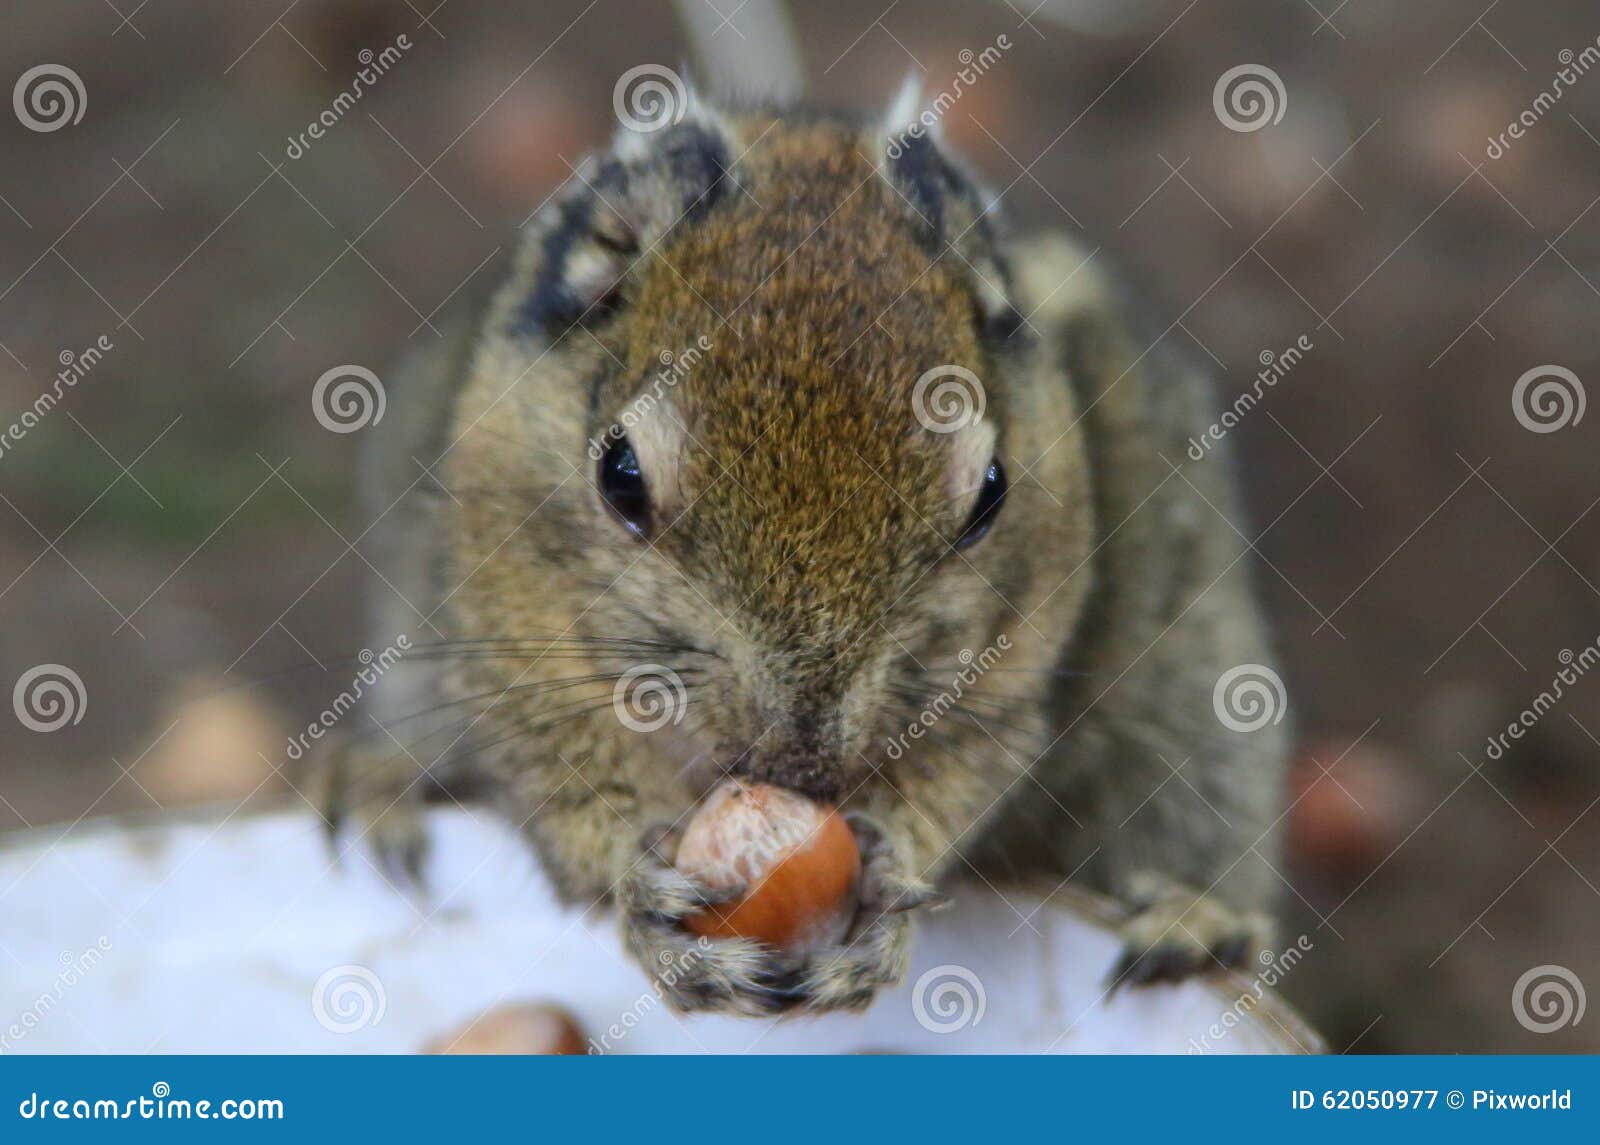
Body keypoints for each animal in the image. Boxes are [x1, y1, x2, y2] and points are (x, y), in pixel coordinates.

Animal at [314, 88, 1287, 1016]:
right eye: (619, 475)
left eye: (992, 492)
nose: (802, 766)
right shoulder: (513, 646)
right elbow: (556, 765)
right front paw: (638, 887)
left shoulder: (1004, 681)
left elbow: (967, 763)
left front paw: (891, 872)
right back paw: (379, 788)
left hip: (1193, 689)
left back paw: (1195, 921)